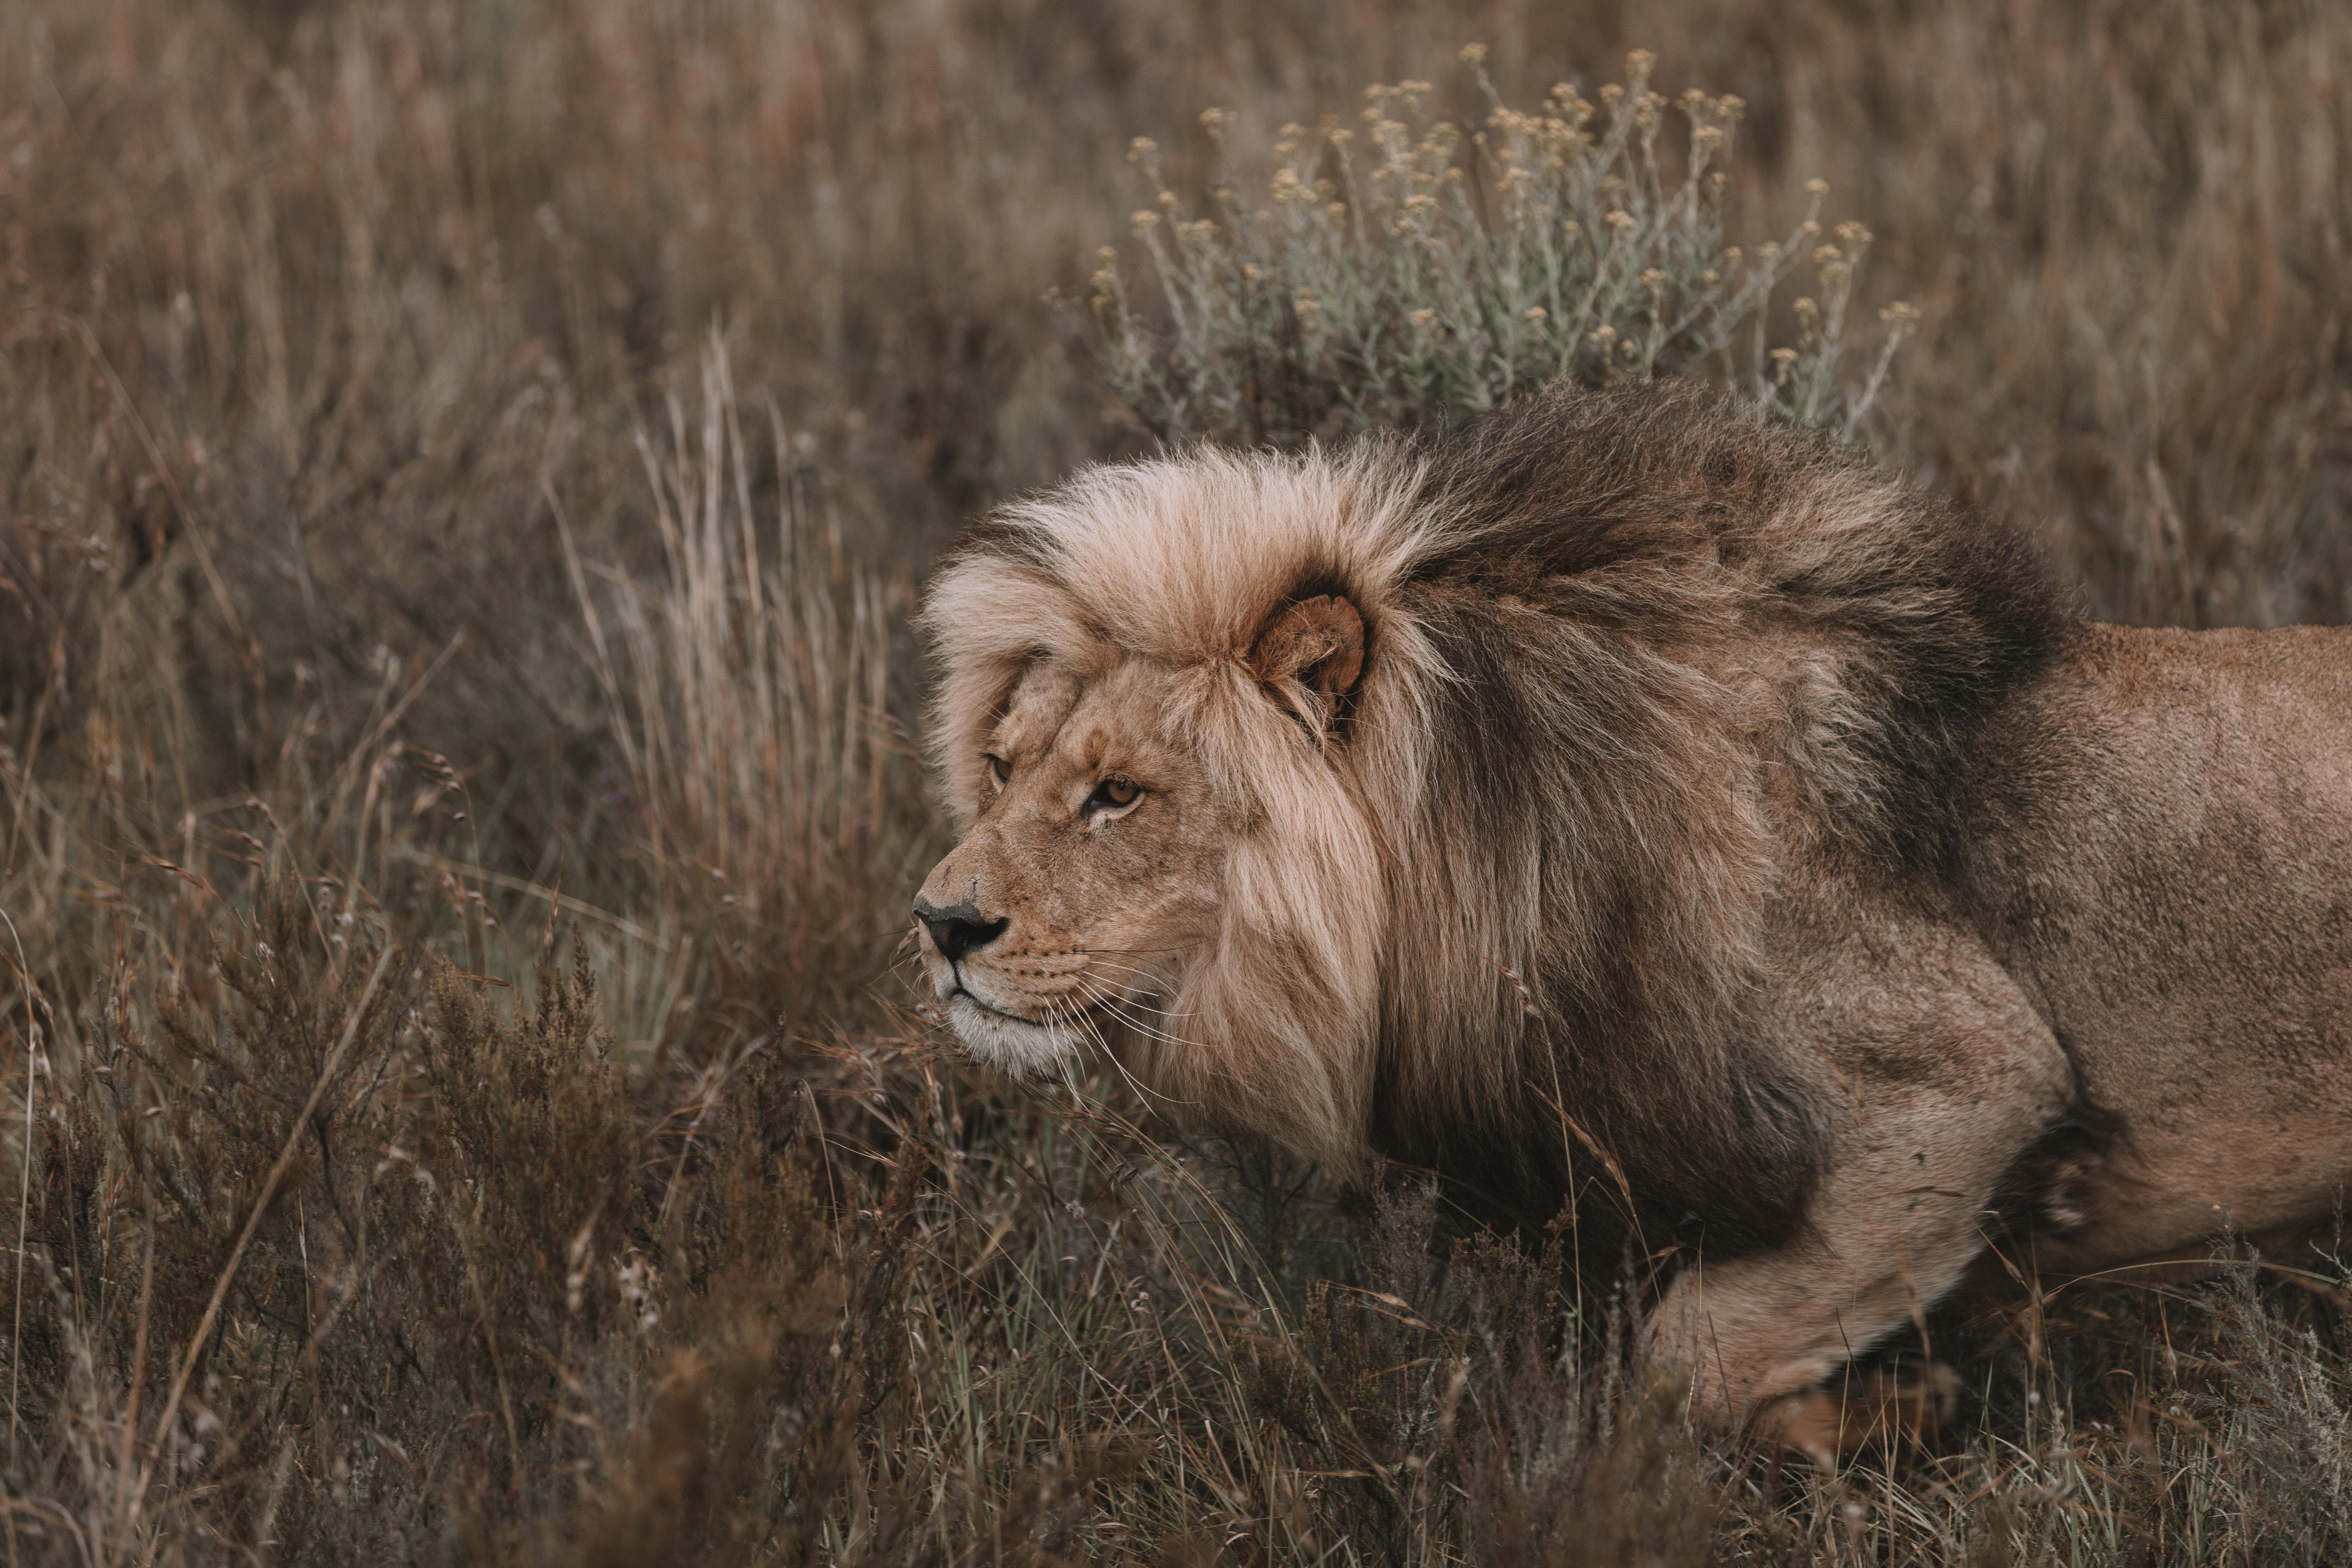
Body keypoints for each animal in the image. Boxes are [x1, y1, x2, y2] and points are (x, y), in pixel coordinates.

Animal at [911, 380, 2352, 1458]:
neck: (1484, 844)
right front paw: (1887, 1410)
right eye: (1001, 765)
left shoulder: (1964, 1084)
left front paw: (1899, 1411)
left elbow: (1681, 1356)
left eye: (1115, 793)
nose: (938, 924)